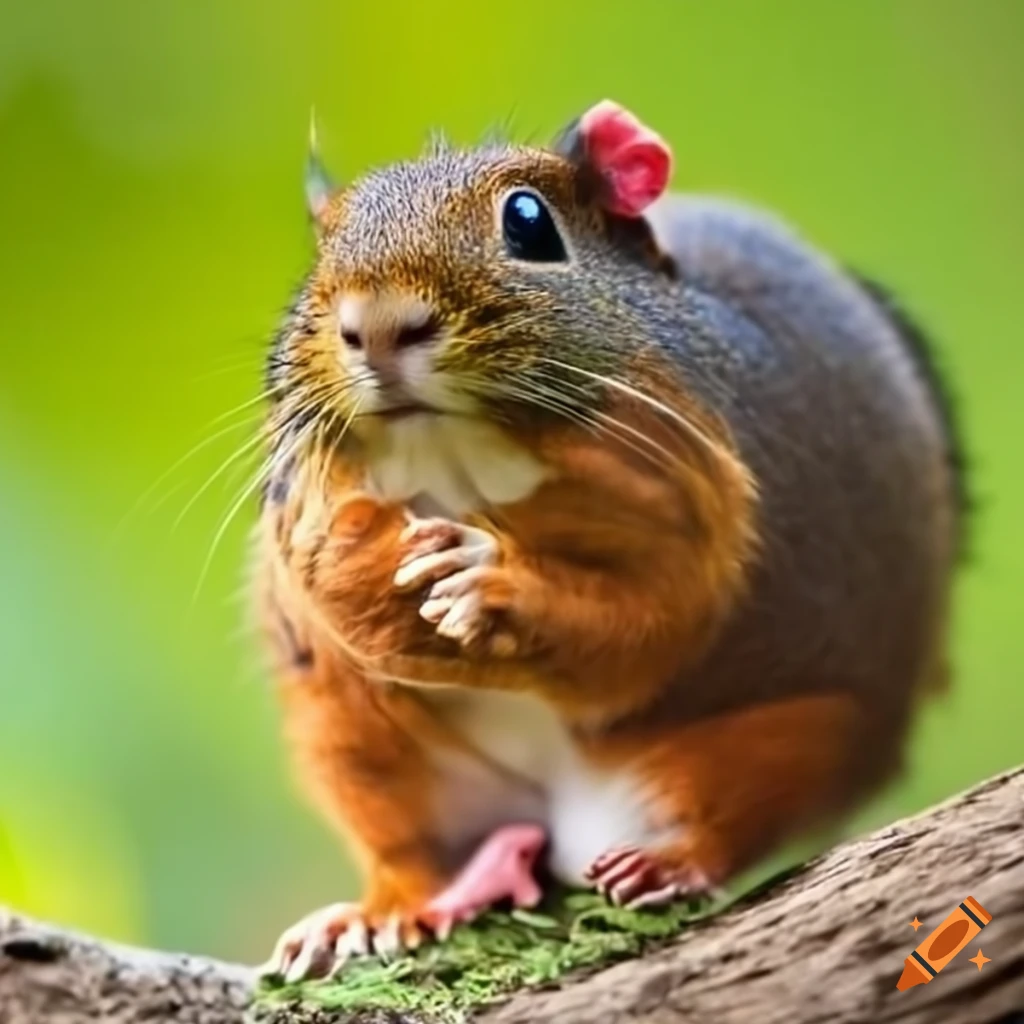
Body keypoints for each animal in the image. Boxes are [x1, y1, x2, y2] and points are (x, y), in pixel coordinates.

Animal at [254, 100, 965, 981]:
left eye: (530, 223)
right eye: (322, 241)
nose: (379, 325)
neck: (456, 465)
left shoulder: (690, 495)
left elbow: (644, 620)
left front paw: (492, 579)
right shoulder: (309, 506)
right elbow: (331, 581)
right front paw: (392, 566)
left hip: (792, 735)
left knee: (734, 808)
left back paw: (672, 860)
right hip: (361, 750)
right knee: (412, 855)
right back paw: (377, 912)